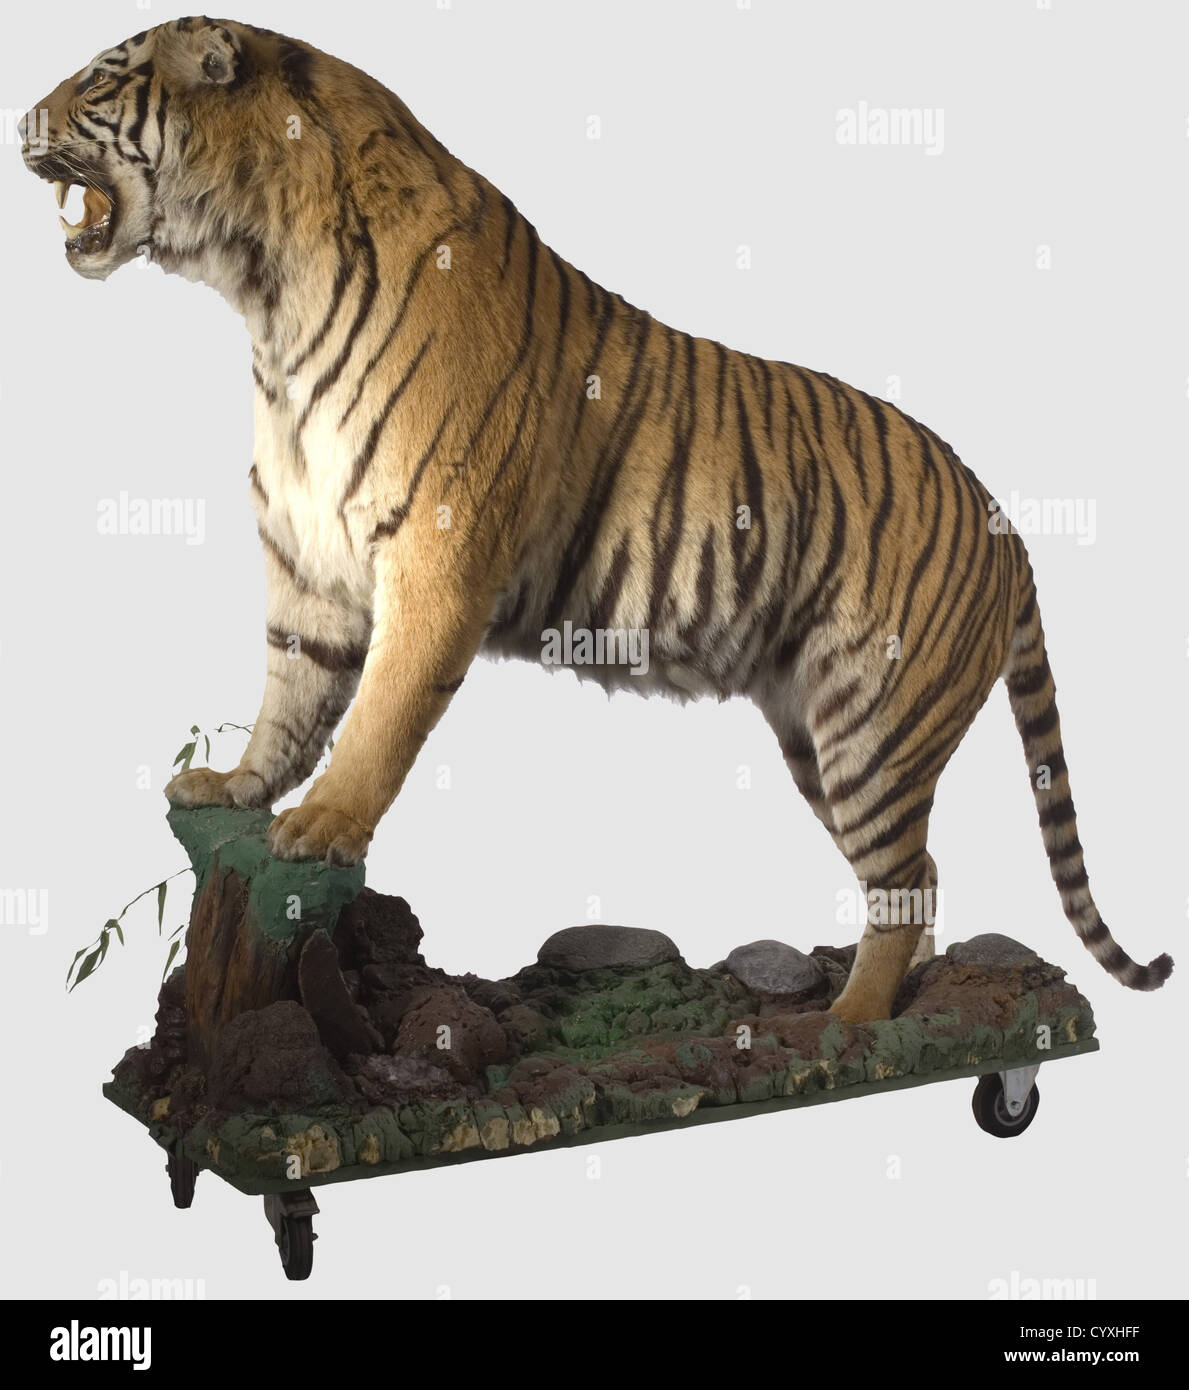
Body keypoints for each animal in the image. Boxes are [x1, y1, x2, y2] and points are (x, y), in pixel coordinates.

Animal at [20, 17, 1172, 1023]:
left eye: (100, 75)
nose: (19, 119)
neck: (262, 293)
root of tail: (1006, 524)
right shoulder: (312, 566)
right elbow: (288, 698)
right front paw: (235, 785)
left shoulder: (436, 560)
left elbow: (377, 719)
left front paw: (323, 825)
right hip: (818, 730)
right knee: (919, 871)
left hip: (875, 726)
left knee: (910, 878)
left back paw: (849, 1027)